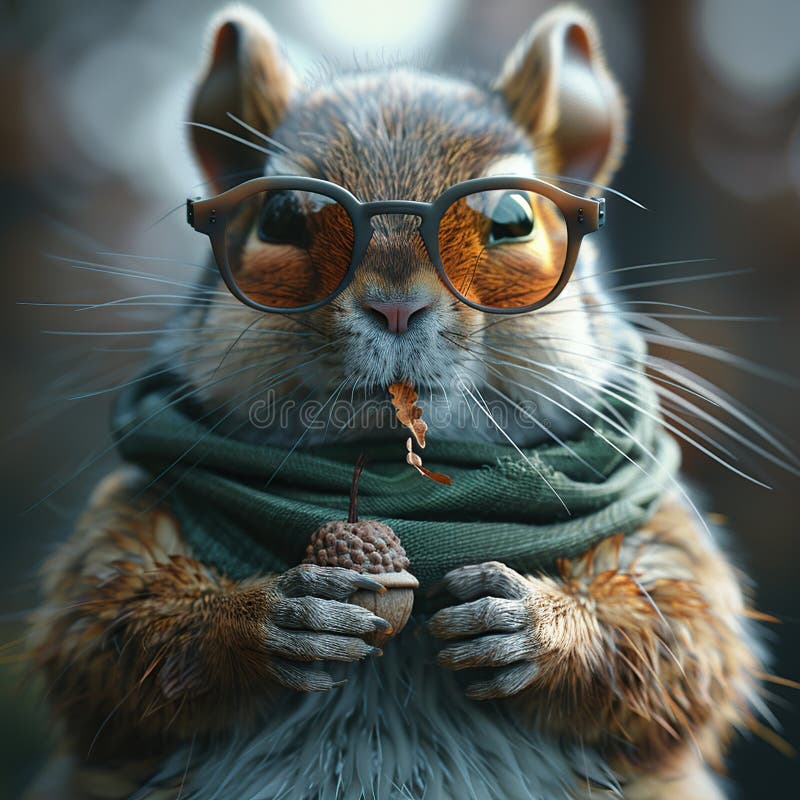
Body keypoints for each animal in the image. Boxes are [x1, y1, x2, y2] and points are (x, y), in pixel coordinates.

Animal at [26, 5, 768, 799]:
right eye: (279, 216)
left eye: (515, 217)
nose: (395, 307)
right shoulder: (129, 516)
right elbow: (102, 634)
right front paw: (270, 617)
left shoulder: (662, 528)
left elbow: (684, 635)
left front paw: (530, 625)